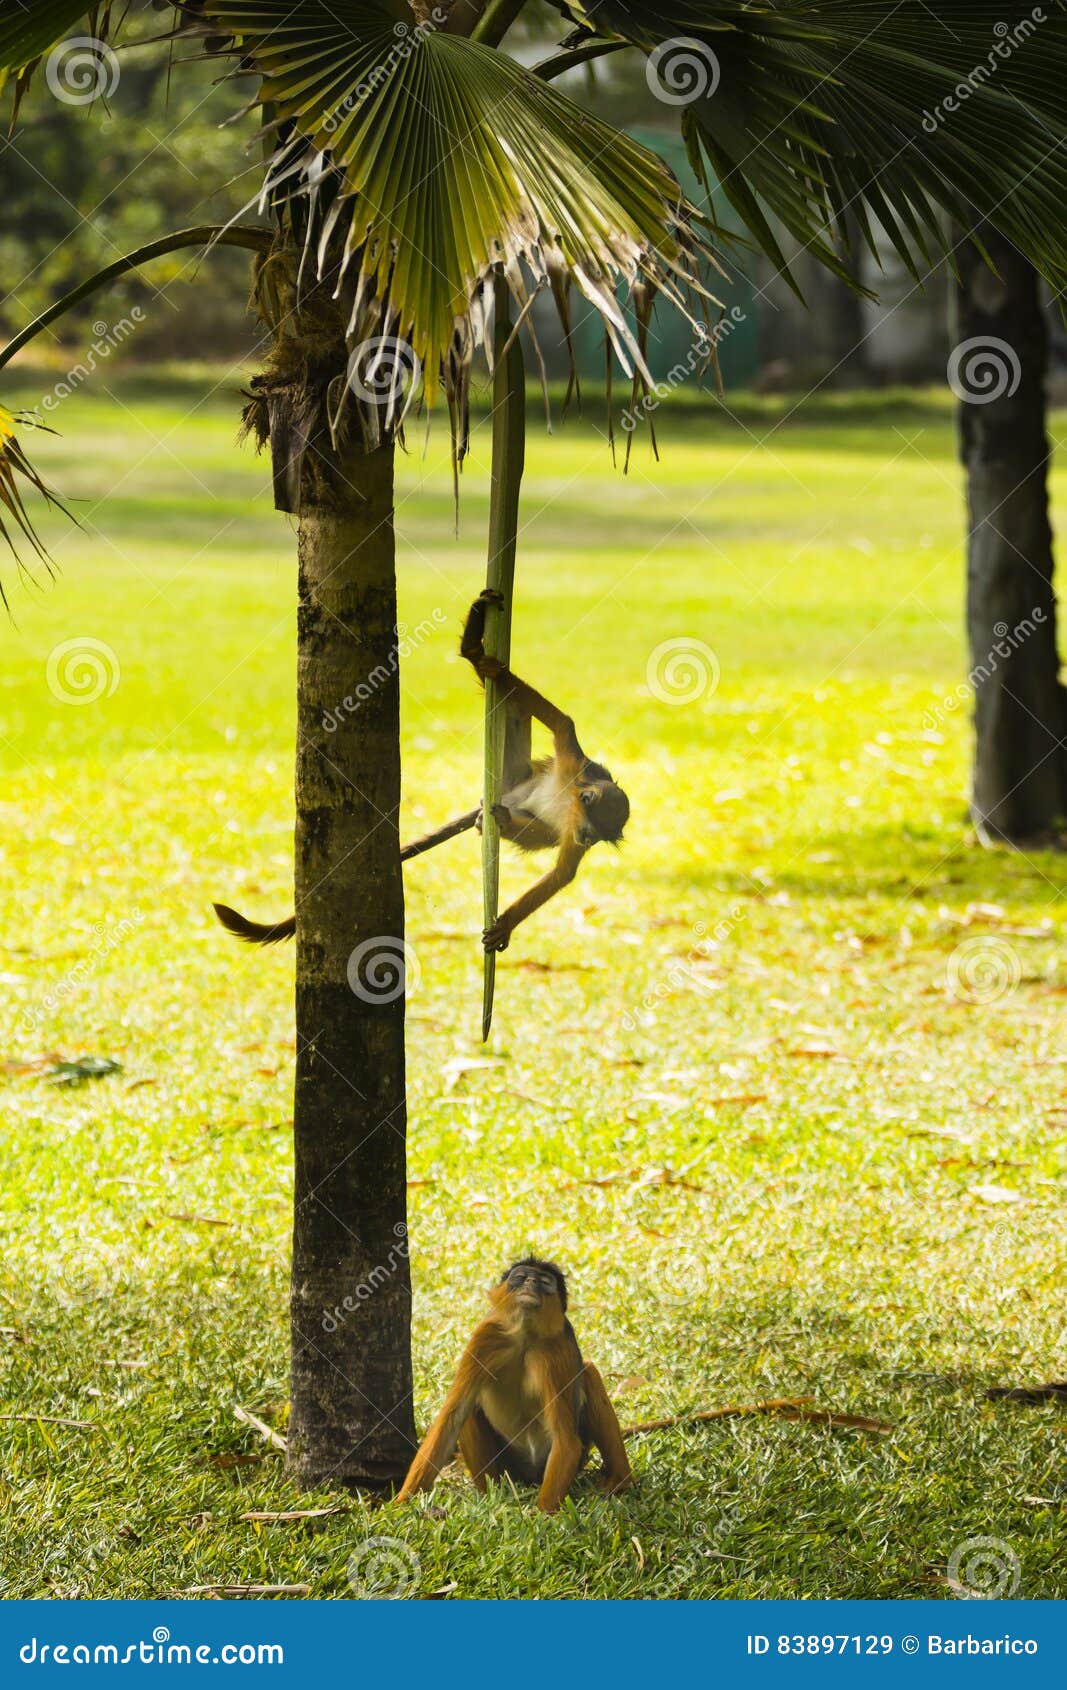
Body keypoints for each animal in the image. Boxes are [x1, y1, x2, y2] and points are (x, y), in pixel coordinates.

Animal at [213, 592, 629, 954]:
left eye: (598, 838)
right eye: (593, 829)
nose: (589, 838)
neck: (571, 800)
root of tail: (512, 789)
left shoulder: (573, 823)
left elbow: (563, 872)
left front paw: (507, 923)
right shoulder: (572, 763)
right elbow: (561, 723)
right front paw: (480, 656)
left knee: (521, 827)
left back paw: (501, 820)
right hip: (511, 770)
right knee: (508, 697)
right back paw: (475, 652)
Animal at [395, 1257, 633, 1514]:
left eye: (544, 1281)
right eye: (521, 1277)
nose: (530, 1282)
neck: (524, 1336)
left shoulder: (557, 1347)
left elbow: (566, 1438)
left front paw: (542, 1516)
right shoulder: (486, 1336)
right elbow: (451, 1419)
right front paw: (402, 1503)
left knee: (588, 1372)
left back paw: (621, 1479)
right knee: (470, 1411)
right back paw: (492, 1493)